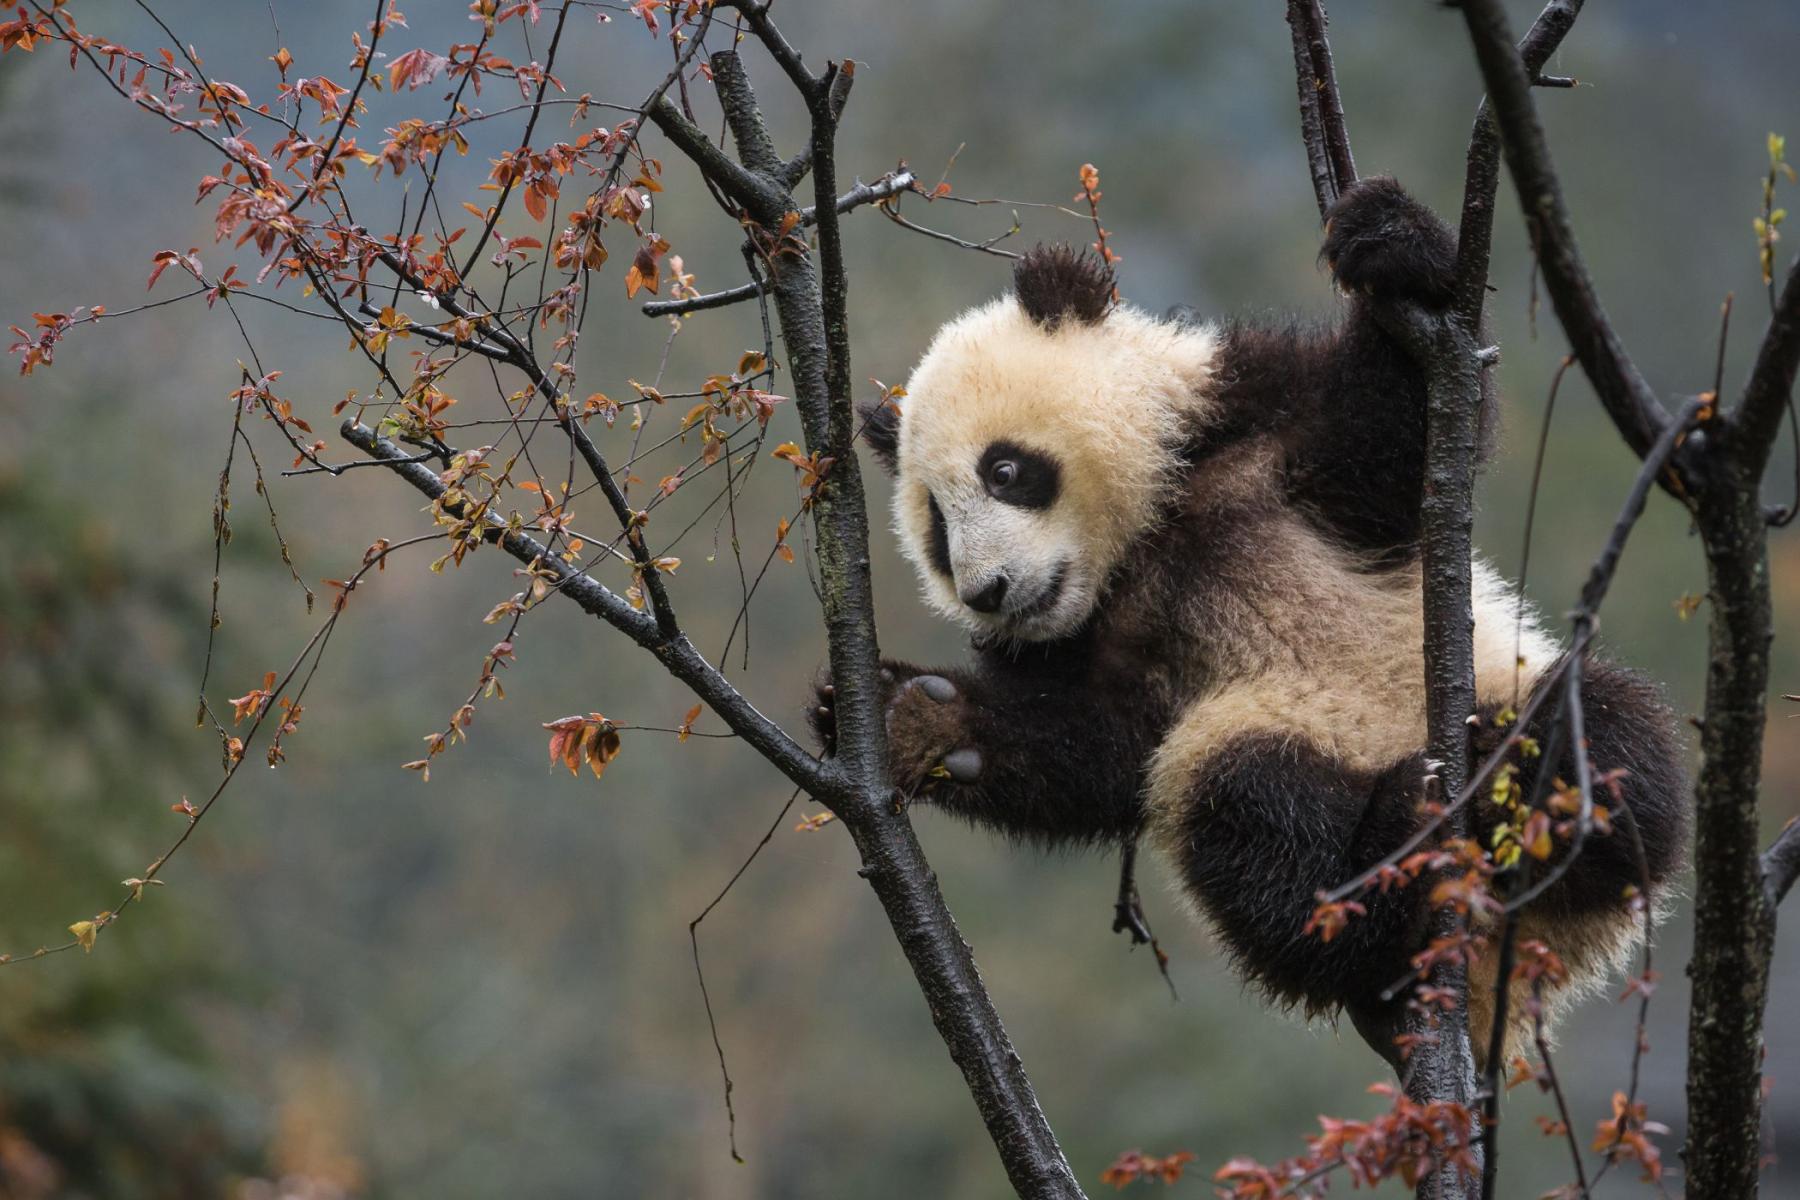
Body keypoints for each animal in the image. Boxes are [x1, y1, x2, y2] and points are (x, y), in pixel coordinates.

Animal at [813, 176, 1687, 1068]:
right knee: (1250, 821)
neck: (1148, 537)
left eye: (1005, 470)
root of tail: (1501, 966)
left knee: (1609, 744)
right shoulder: (1098, 644)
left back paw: (1524, 793)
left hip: (1505, 688)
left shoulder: (1264, 429)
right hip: (1260, 746)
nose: (988, 591)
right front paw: (917, 715)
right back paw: (1389, 880)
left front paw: (1389, 241)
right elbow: (1095, 747)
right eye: (935, 528)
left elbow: (1403, 423)